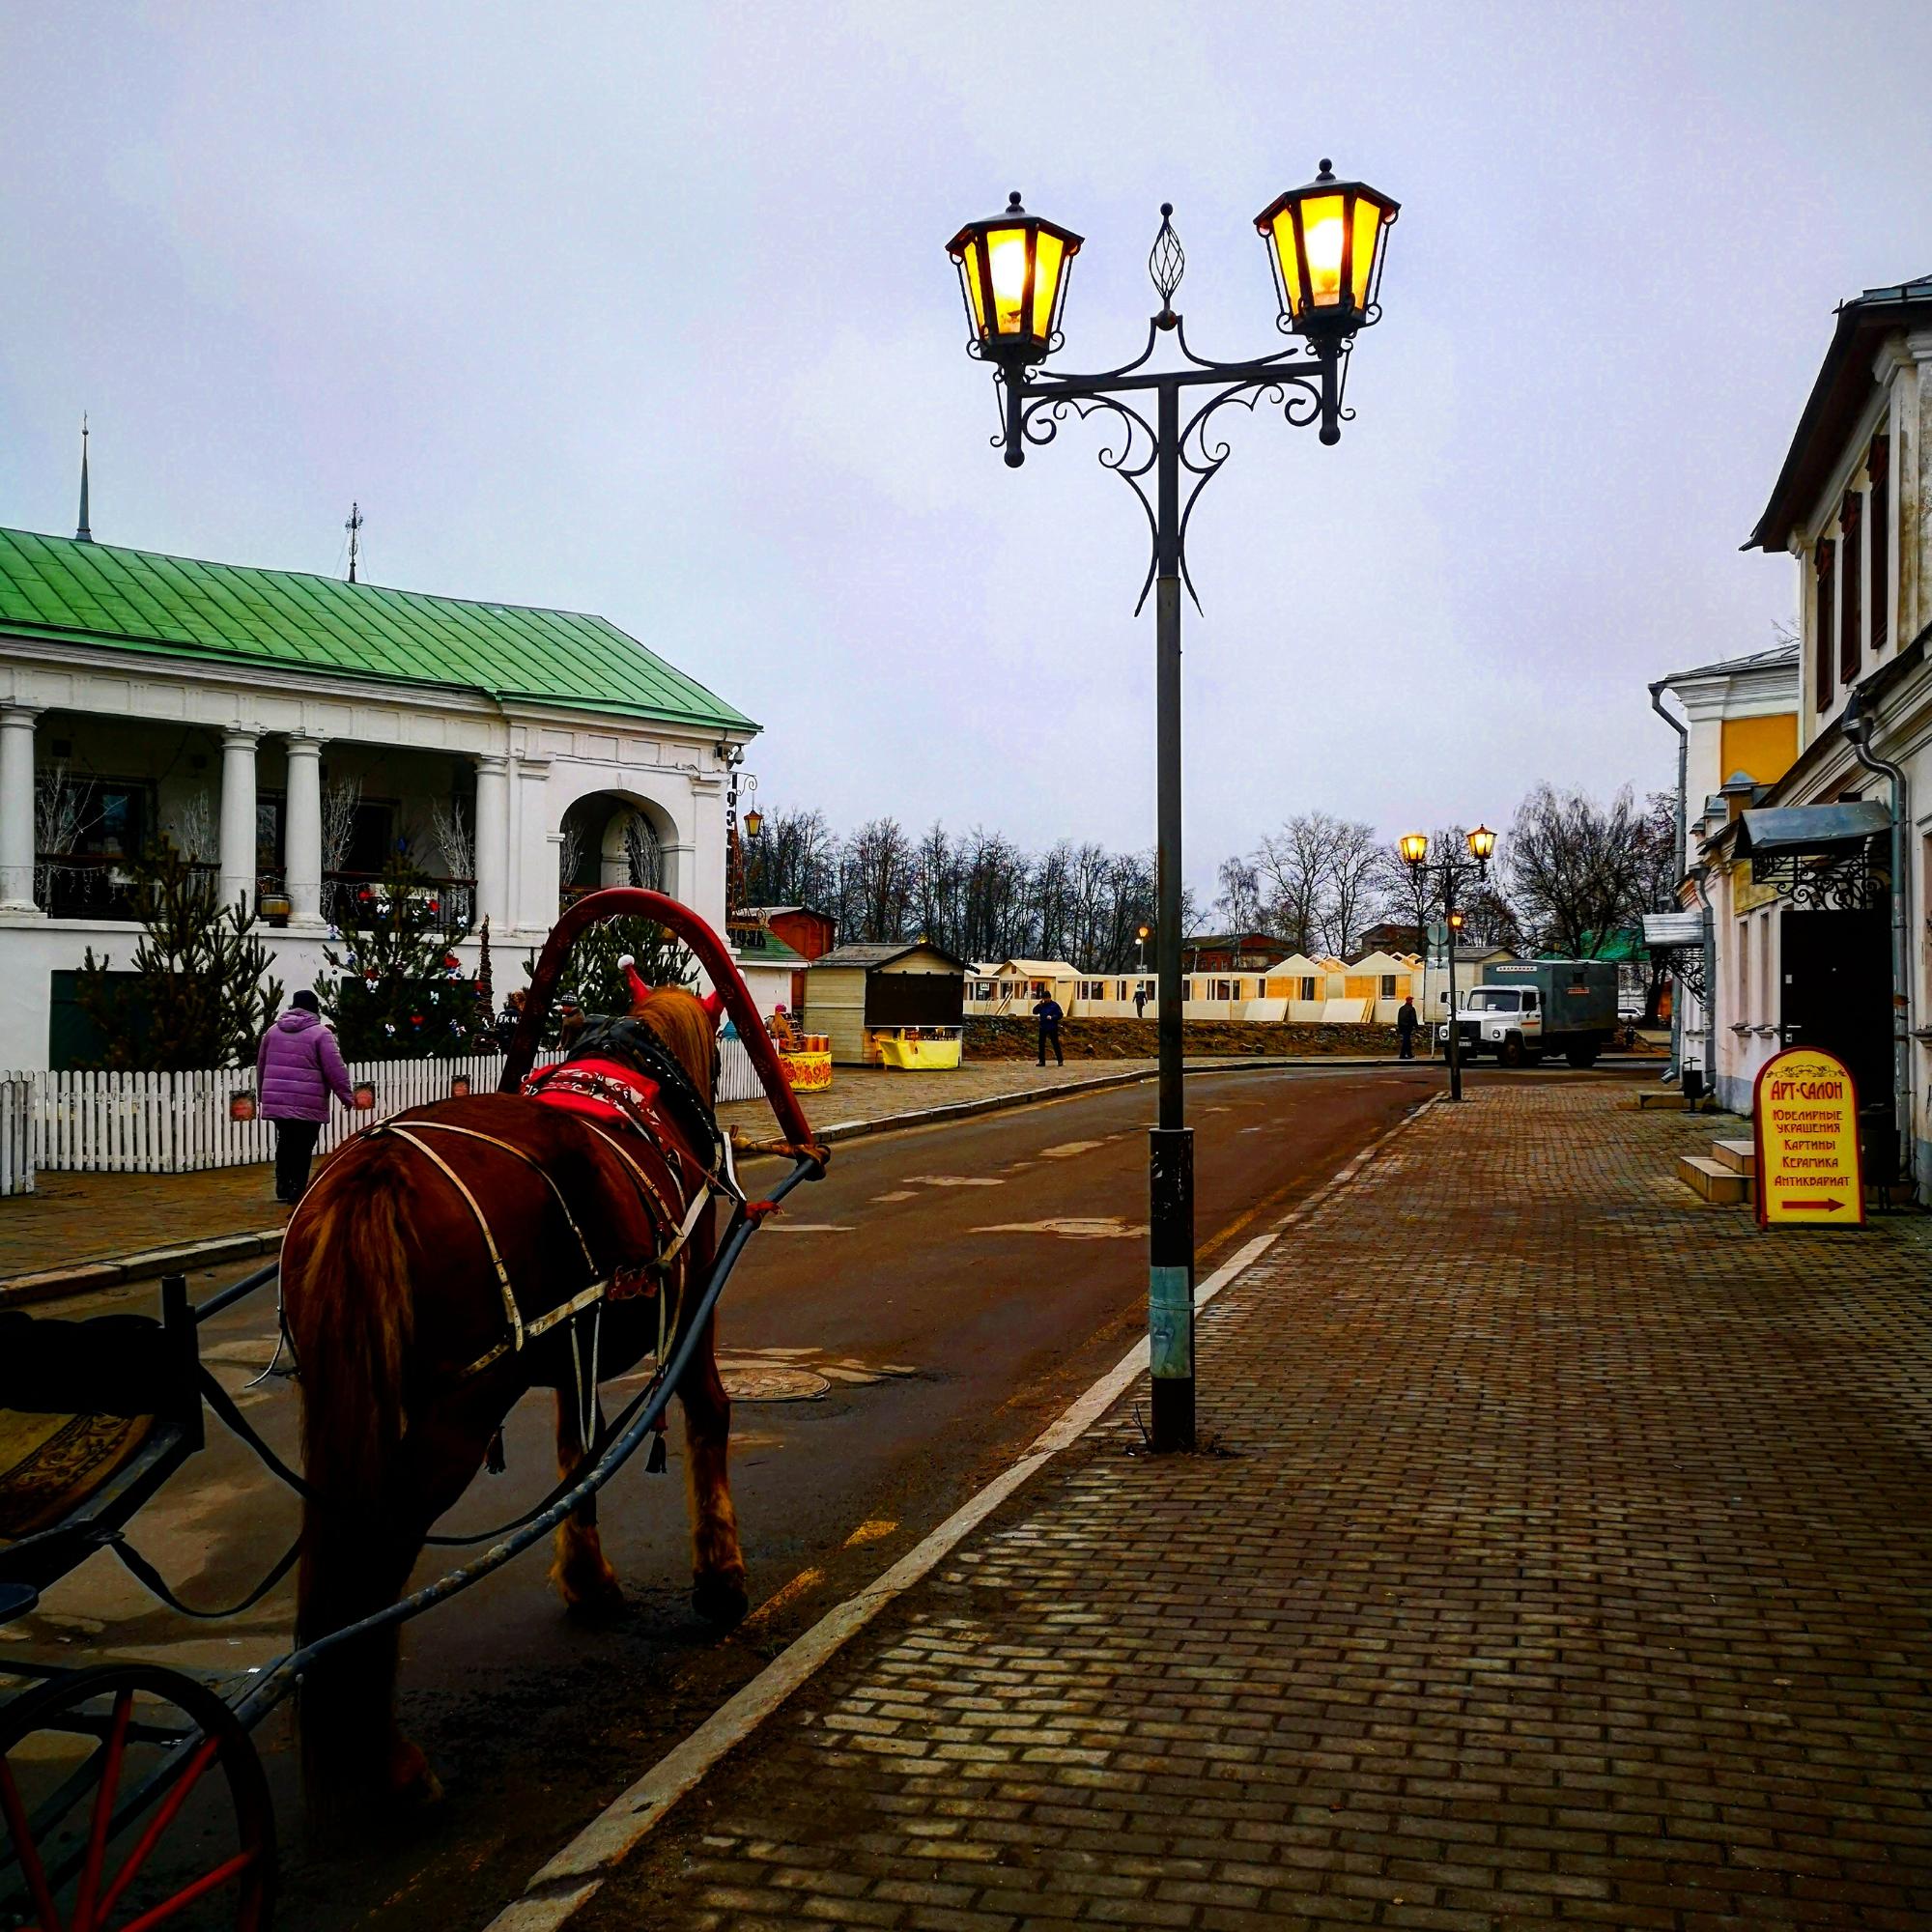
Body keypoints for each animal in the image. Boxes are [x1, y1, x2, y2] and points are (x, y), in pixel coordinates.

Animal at [282, 989, 742, 1816]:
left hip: (342, 1402)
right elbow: (708, 1413)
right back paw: (387, 1766)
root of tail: (377, 1167)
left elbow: (578, 1453)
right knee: (376, 1553)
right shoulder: (694, 1304)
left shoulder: (575, 1342)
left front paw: (589, 1580)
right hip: (454, 1415)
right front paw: (720, 1577)